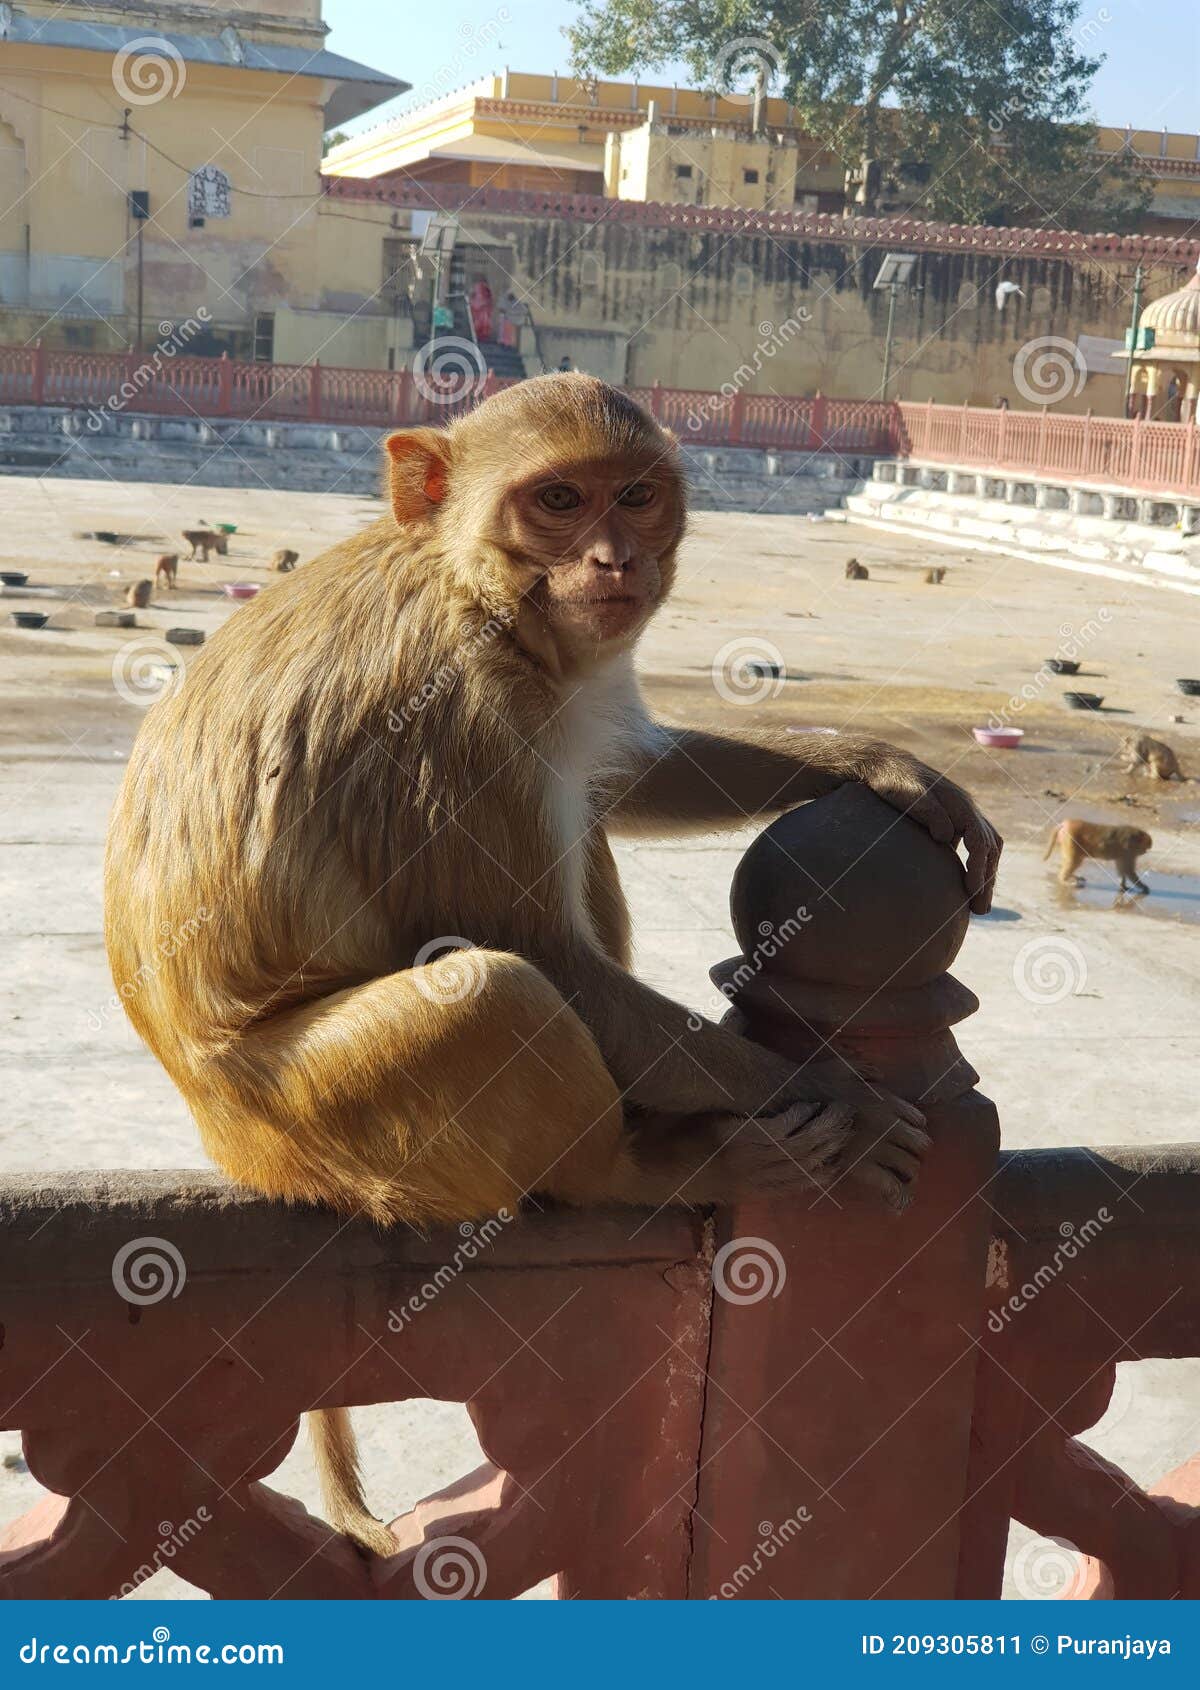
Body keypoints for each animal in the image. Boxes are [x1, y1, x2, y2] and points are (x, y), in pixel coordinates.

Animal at [105, 374, 1001, 1555]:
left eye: (635, 496)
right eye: (560, 500)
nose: (616, 560)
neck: (472, 587)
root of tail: (225, 1141)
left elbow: (626, 770)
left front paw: (881, 767)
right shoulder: (452, 713)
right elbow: (530, 954)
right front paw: (845, 1105)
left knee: (580, 832)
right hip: (311, 1121)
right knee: (488, 991)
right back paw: (643, 1167)